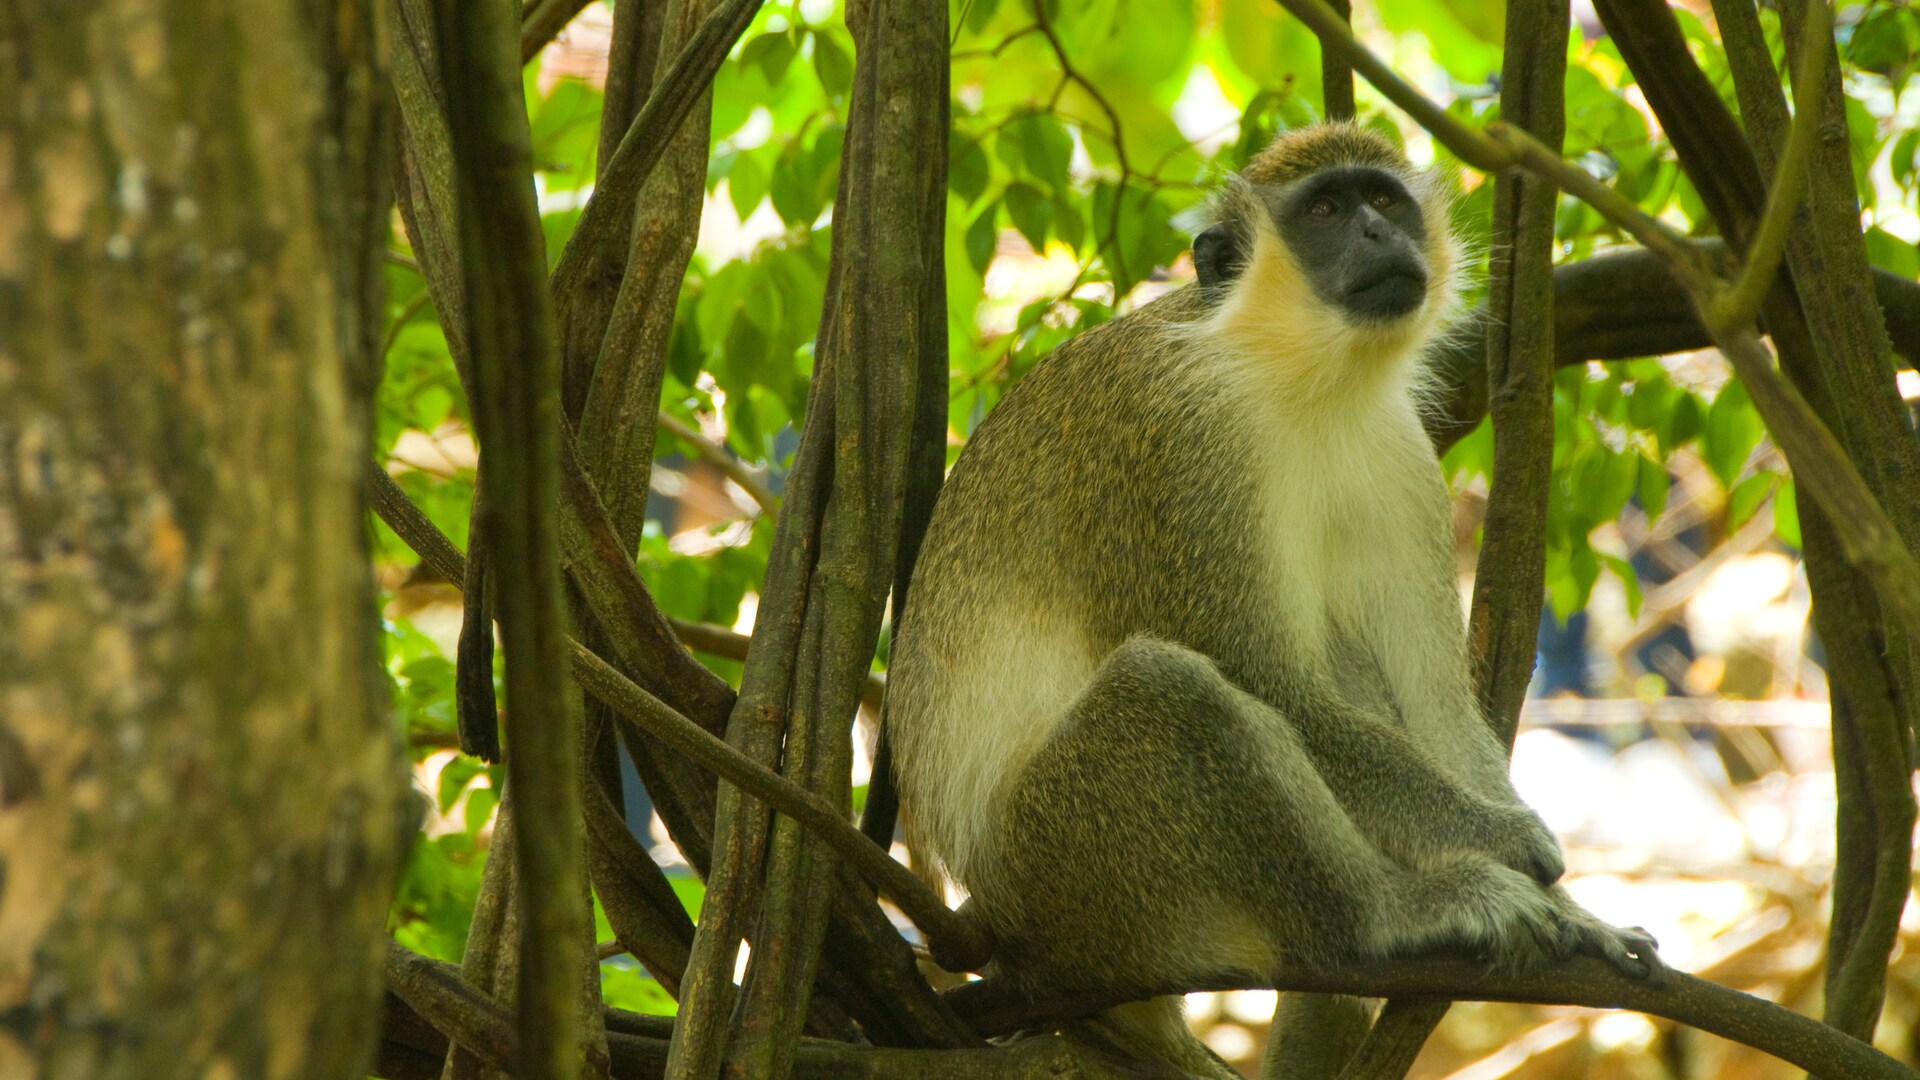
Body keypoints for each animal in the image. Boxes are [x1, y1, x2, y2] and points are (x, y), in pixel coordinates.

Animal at [882, 123, 1663, 1078]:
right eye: (1324, 210)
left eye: (1383, 200)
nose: (1378, 234)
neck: (1299, 375)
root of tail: (1005, 941)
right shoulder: (1181, 449)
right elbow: (1273, 686)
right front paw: (1509, 846)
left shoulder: (1403, 459)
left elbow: (1436, 706)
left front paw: (1576, 908)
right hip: (1067, 875)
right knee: (1171, 690)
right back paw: (1386, 918)